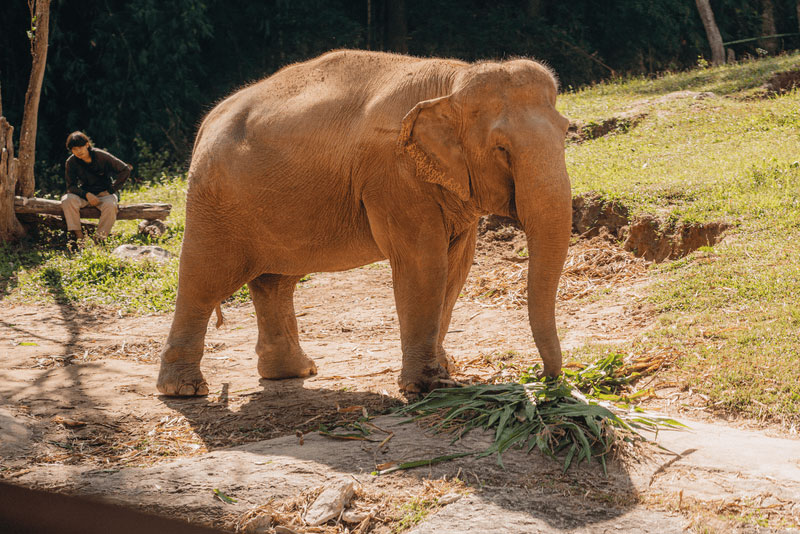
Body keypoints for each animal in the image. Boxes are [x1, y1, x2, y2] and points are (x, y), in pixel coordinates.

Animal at [157, 49, 572, 397]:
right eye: (502, 149)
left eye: (566, 131)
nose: (543, 378)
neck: (453, 81)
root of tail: (206, 122)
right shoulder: (392, 175)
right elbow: (423, 264)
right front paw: (428, 387)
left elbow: (456, 268)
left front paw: (445, 371)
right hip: (214, 202)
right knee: (204, 278)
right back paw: (185, 390)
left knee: (275, 282)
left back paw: (294, 373)